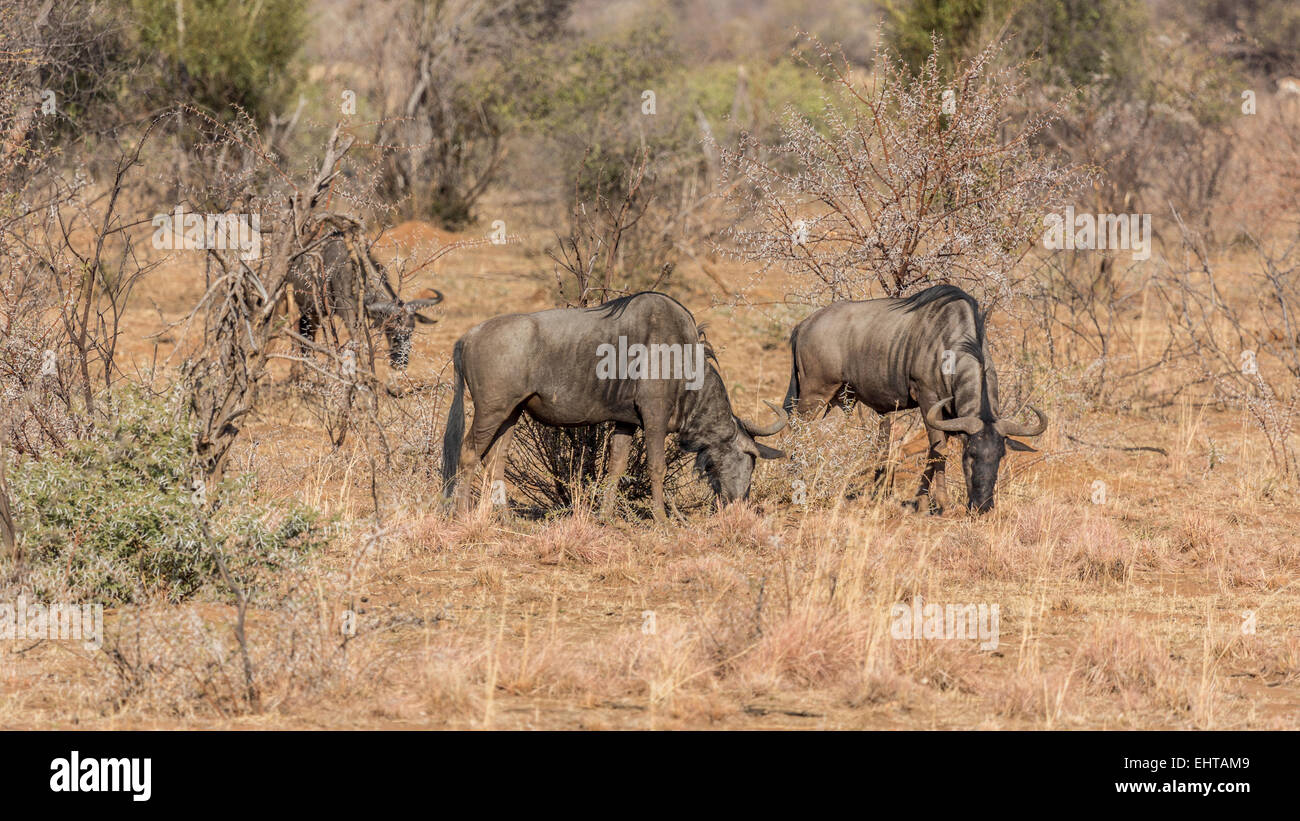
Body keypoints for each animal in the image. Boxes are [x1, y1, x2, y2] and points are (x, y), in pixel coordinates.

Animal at [287, 232, 443, 369]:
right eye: (390, 329)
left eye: (411, 332)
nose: (401, 363)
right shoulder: (347, 314)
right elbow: (357, 344)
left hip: (311, 314)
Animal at [441, 291, 789, 520]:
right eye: (750, 460)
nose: (739, 505)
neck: (683, 359)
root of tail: (468, 336)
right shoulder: (654, 419)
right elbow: (656, 467)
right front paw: (662, 520)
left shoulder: (627, 422)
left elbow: (616, 466)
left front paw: (605, 517)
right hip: (491, 412)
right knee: (469, 452)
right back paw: (461, 515)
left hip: (511, 414)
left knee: (495, 459)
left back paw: (502, 517)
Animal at [782, 284, 1047, 514]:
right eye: (969, 455)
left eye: (1000, 456)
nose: (983, 506)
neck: (949, 342)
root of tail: (804, 324)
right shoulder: (927, 399)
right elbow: (939, 450)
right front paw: (944, 503)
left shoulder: (947, 415)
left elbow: (932, 451)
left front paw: (921, 500)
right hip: (814, 394)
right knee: (797, 430)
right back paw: (797, 484)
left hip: (840, 398)